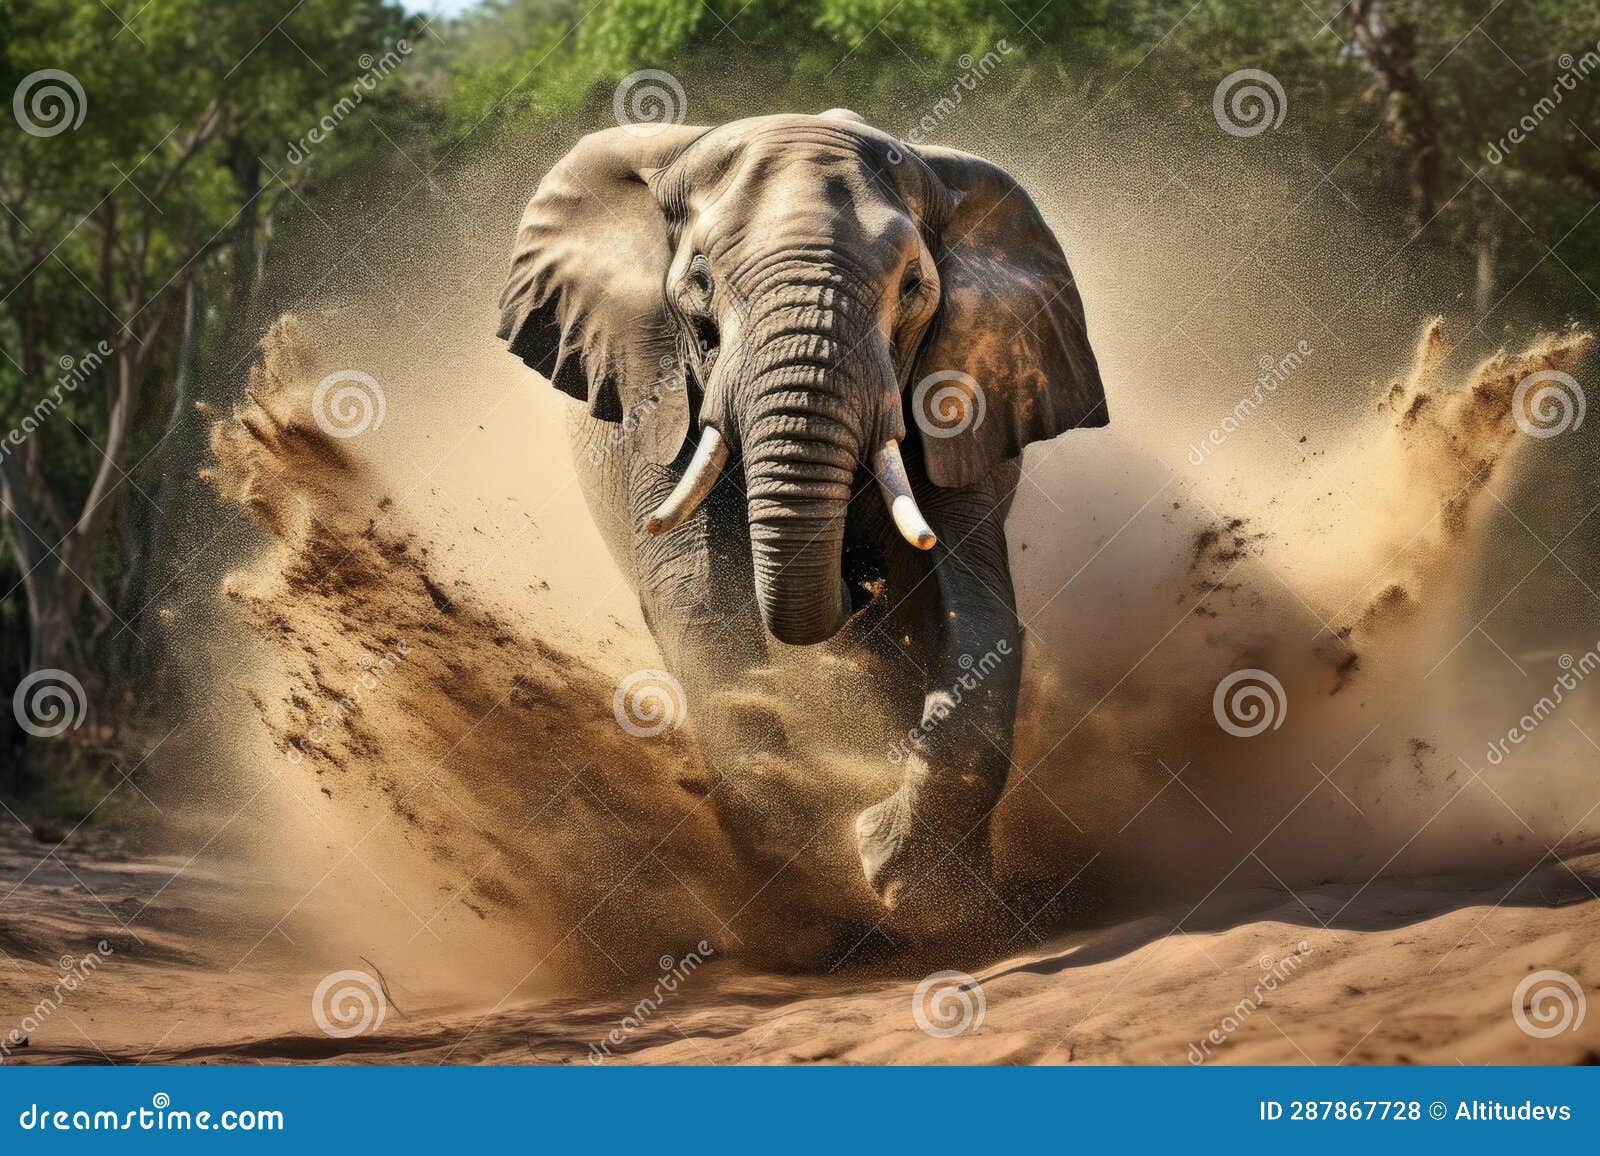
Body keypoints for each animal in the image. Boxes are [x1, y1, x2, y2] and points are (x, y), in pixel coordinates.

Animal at [498, 109, 1106, 919]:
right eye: (697, 287)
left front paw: (897, 877)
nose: (857, 579)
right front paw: (818, 885)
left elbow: (969, 598)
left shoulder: (958, 397)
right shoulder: (655, 396)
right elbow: (699, 601)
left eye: (915, 288)